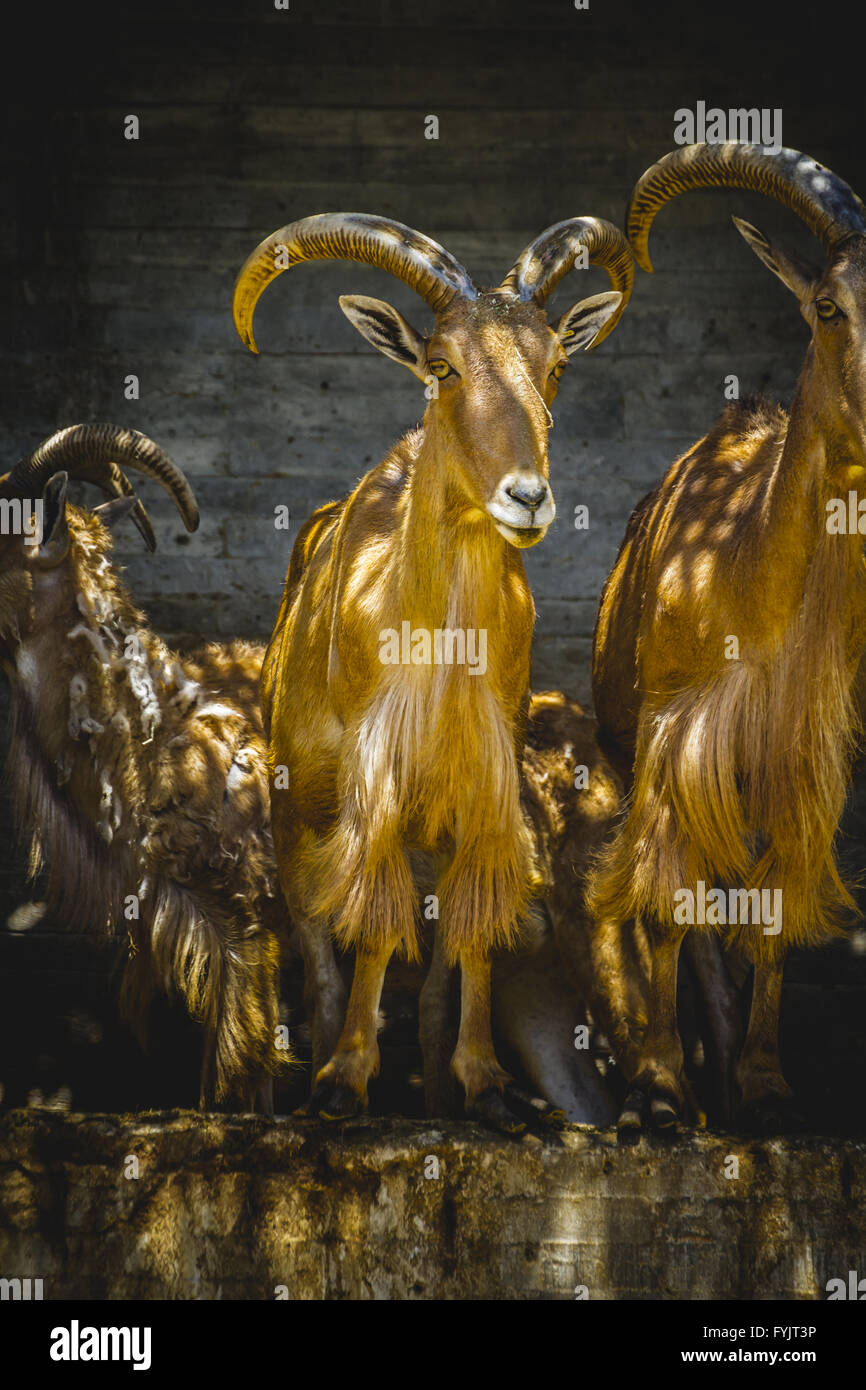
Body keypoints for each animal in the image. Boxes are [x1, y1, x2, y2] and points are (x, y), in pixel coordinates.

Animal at [232, 210, 634, 1131]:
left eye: (555, 366)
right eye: (442, 365)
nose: (527, 496)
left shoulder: (486, 791)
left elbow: (473, 929)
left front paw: (485, 1086)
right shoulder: (370, 791)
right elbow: (373, 928)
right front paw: (344, 1082)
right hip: (294, 821)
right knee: (323, 951)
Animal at [587, 142, 866, 1137]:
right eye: (828, 306)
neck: (753, 584)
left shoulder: (801, 762)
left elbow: (773, 910)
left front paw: (768, 1085)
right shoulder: (676, 739)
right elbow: (669, 907)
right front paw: (659, 1097)